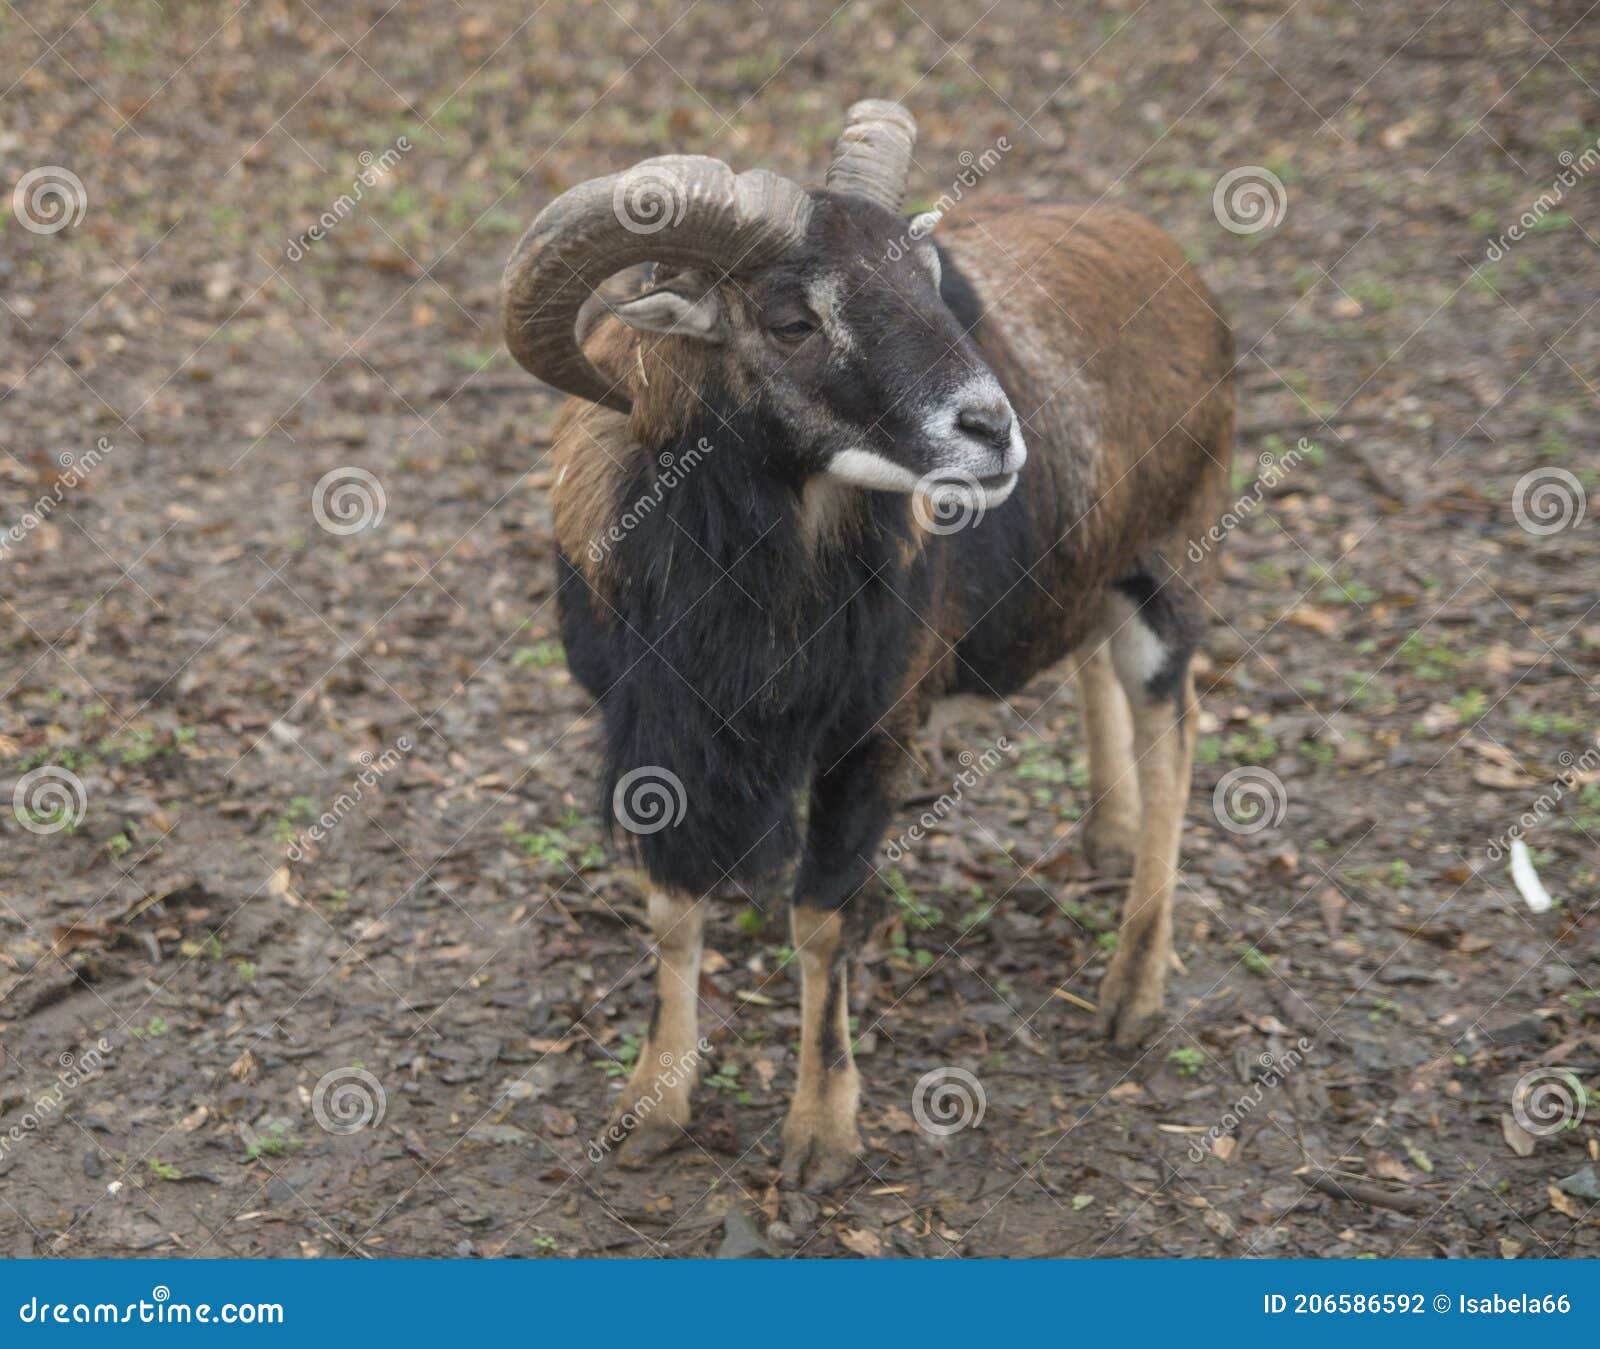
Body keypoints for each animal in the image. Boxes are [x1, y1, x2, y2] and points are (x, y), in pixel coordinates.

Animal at [501, 100, 1234, 1190]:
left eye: (925, 281)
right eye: (791, 319)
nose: (991, 430)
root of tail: (1177, 274)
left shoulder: (867, 737)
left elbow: (822, 918)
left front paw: (821, 1134)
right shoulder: (656, 738)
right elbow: (672, 909)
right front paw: (651, 1106)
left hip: (1169, 570)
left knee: (1173, 725)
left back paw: (1132, 994)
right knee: (1094, 665)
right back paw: (1105, 835)